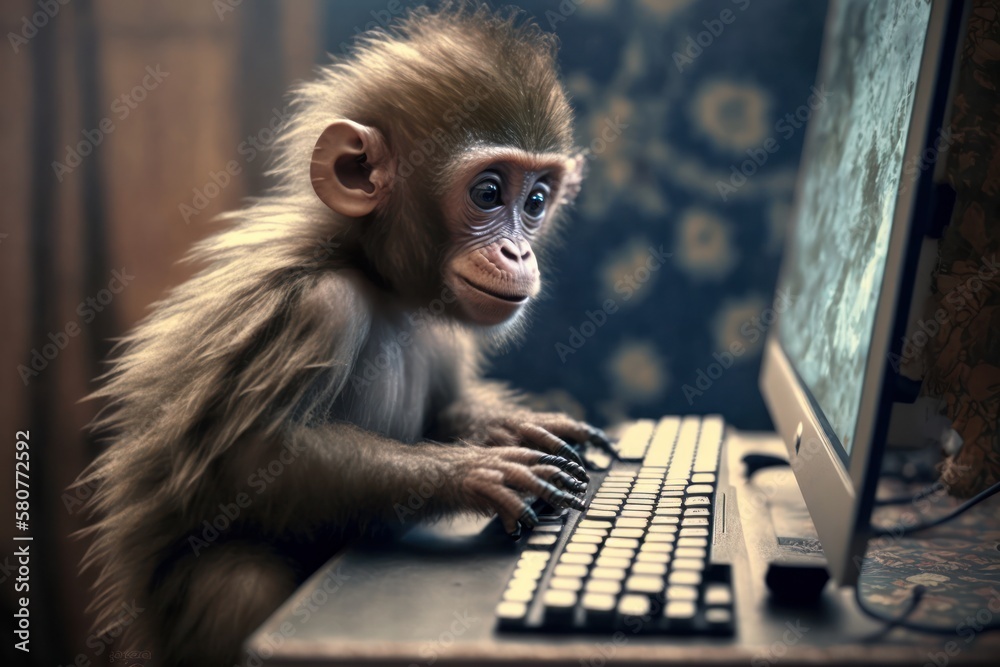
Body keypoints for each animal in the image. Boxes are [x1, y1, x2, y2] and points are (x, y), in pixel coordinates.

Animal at [74, 5, 612, 666]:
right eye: (488, 192)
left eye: (535, 201)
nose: (519, 252)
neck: (375, 276)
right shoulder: (317, 309)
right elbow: (252, 460)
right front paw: (475, 472)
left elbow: (447, 409)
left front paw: (511, 427)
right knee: (239, 579)